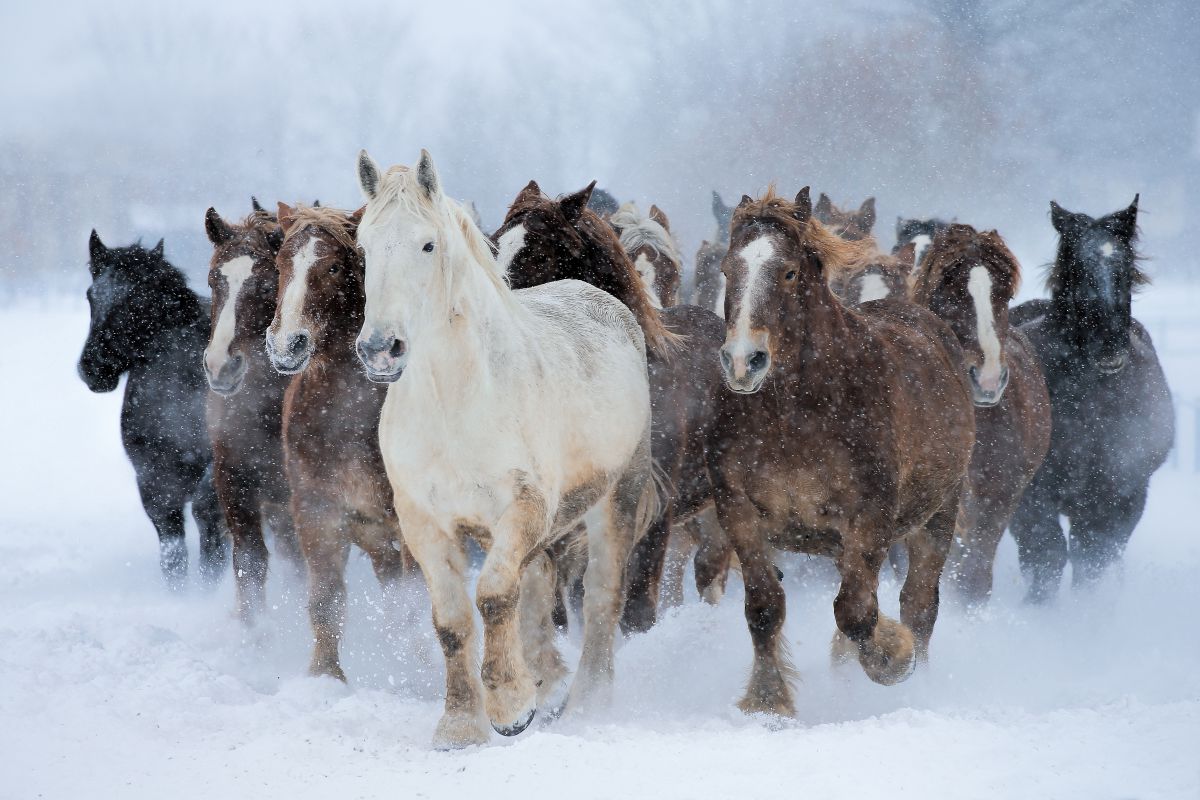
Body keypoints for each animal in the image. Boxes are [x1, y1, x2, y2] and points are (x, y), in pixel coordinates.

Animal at [78, 232, 226, 586]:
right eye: (91, 296)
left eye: (136, 301)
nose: (93, 367)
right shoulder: (153, 480)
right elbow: (173, 557)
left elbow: (209, 526)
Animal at [265, 202, 417, 680]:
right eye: (281, 264)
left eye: (332, 267)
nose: (287, 345)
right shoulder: (319, 515)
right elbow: (326, 602)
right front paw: (326, 678)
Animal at [354, 150, 656, 747]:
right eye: (363, 246)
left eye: (428, 245)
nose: (380, 348)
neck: (456, 401)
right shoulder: (425, 525)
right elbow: (452, 622)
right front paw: (461, 726)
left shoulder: (523, 508)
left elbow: (494, 595)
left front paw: (511, 710)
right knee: (537, 592)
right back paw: (547, 679)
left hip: (617, 498)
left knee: (601, 595)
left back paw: (586, 700)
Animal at [710, 188, 974, 714]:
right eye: (728, 270)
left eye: (789, 272)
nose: (743, 362)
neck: (796, 417)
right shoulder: (738, 510)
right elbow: (764, 606)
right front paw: (768, 700)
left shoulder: (869, 517)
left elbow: (855, 612)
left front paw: (892, 658)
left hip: (939, 513)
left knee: (919, 602)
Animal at [1009, 196, 1174, 601]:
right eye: (1077, 268)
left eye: (1125, 268)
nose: (1110, 347)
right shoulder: (1031, 497)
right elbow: (1046, 555)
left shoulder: (1121, 496)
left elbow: (1092, 561)